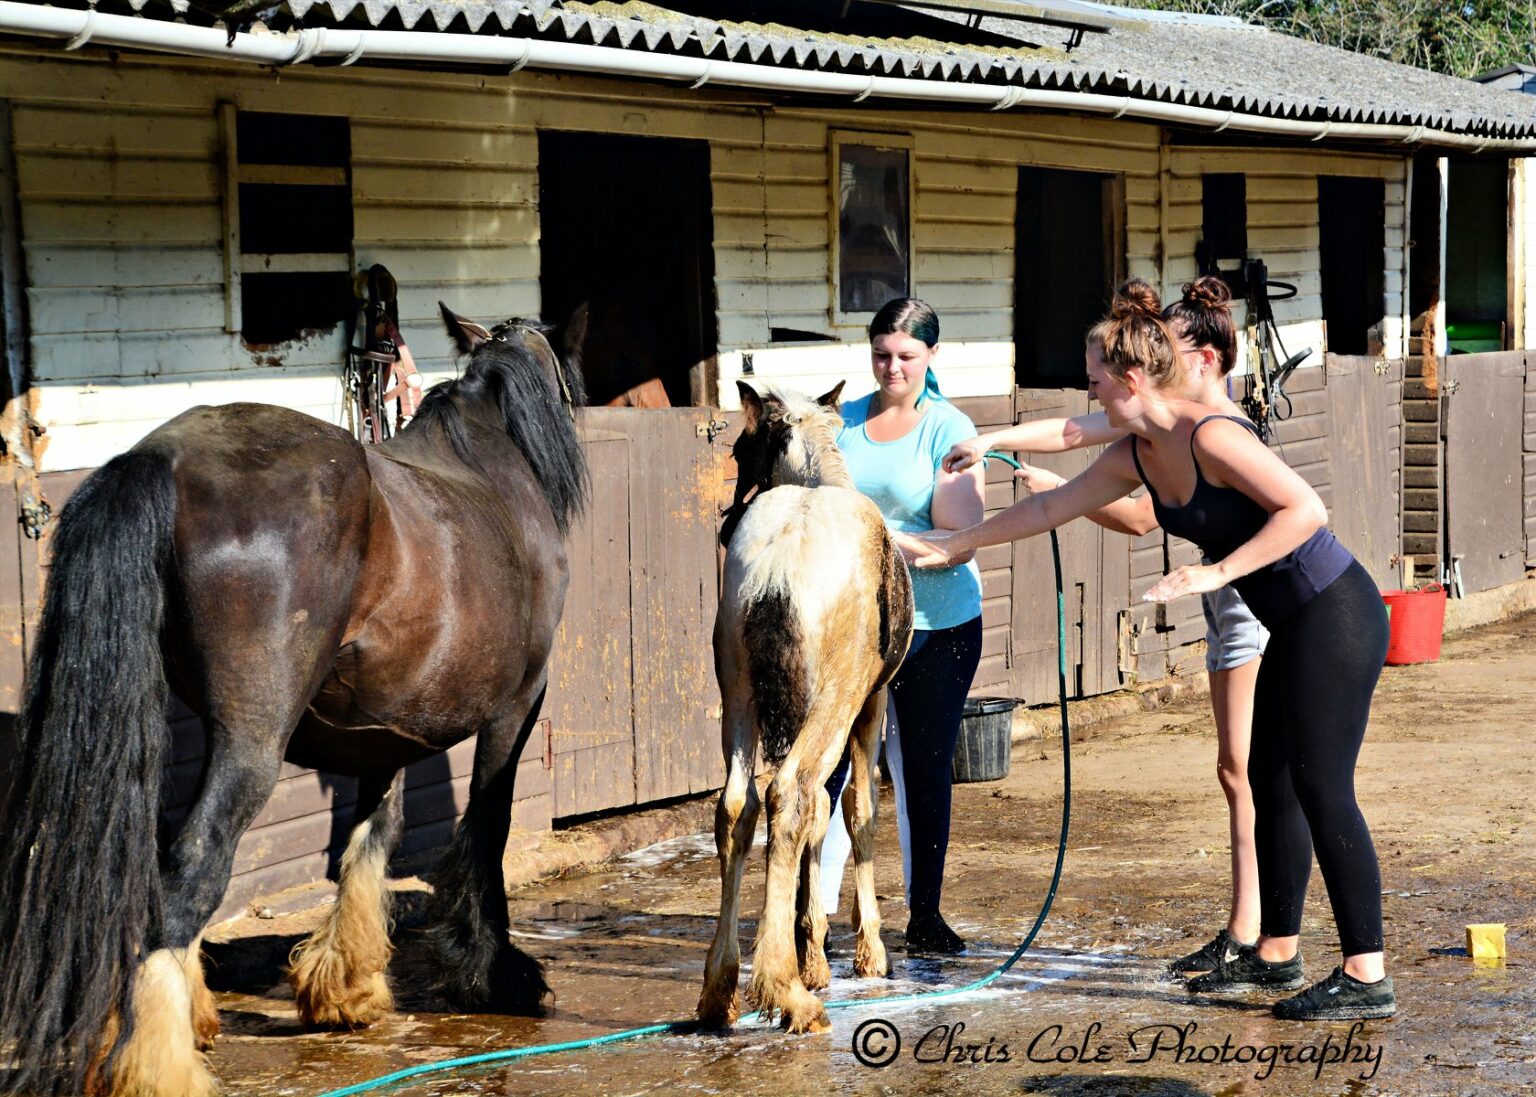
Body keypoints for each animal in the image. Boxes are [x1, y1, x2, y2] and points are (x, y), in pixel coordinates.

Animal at [0, 306, 588, 1097]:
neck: (493, 468)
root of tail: (160, 461)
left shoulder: (384, 730)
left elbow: (371, 836)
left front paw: (346, 987)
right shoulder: (518, 704)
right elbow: (486, 828)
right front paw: (496, 976)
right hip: (253, 742)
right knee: (191, 868)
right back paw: (158, 1063)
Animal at [697, 381, 913, 1035]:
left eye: (740, 449)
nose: (725, 525)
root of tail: (779, 568)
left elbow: (816, 818)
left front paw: (812, 949)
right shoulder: (871, 704)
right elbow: (858, 810)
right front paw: (864, 952)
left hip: (739, 698)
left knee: (739, 805)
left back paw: (721, 990)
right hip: (834, 704)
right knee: (791, 794)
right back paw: (784, 988)